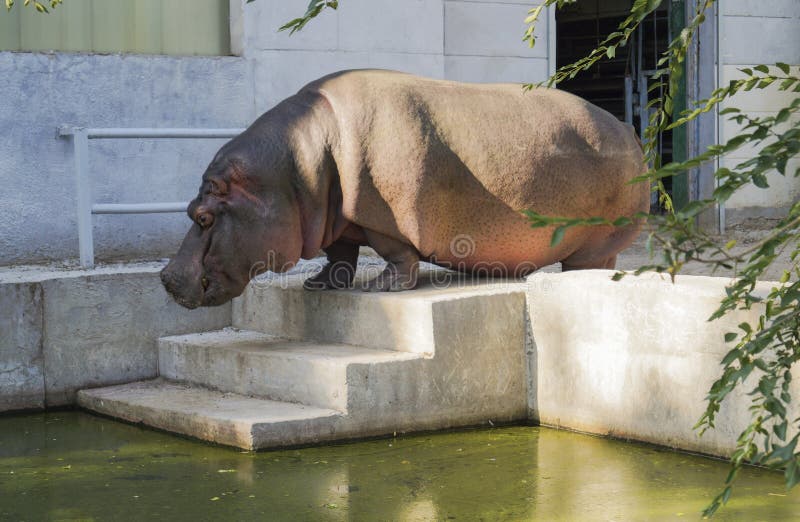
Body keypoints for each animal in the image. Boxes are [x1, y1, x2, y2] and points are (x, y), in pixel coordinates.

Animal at [161, 69, 649, 308]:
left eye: (204, 216)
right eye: (189, 210)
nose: (165, 277)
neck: (296, 168)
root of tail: (626, 129)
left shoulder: (382, 217)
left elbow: (394, 250)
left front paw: (381, 288)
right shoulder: (334, 219)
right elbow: (339, 254)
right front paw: (319, 286)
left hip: (598, 240)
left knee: (588, 264)